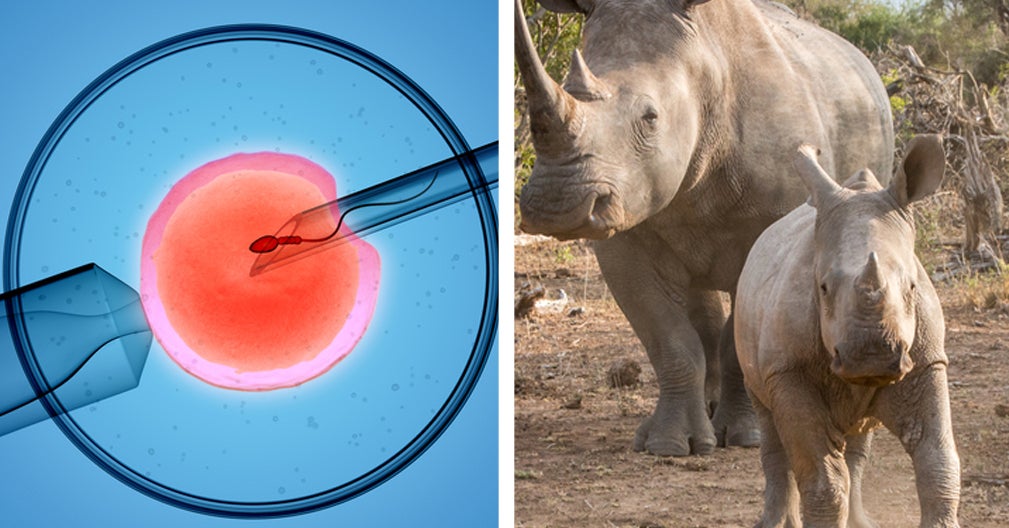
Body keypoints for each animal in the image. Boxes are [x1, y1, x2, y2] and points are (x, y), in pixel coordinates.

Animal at [515, 0, 894, 455]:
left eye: (651, 117)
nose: (555, 205)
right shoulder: (625, 231)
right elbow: (669, 337)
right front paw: (668, 444)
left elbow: (737, 339)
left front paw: (746, 437)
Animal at [735, 136, 959, 527]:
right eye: (822, 288)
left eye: (912, 287)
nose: (871, 356)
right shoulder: (788, 370)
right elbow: (823, 478)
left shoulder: (927, 361)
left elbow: (938, 461)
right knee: (771, 428)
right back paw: (775, 522)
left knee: (857, 437)